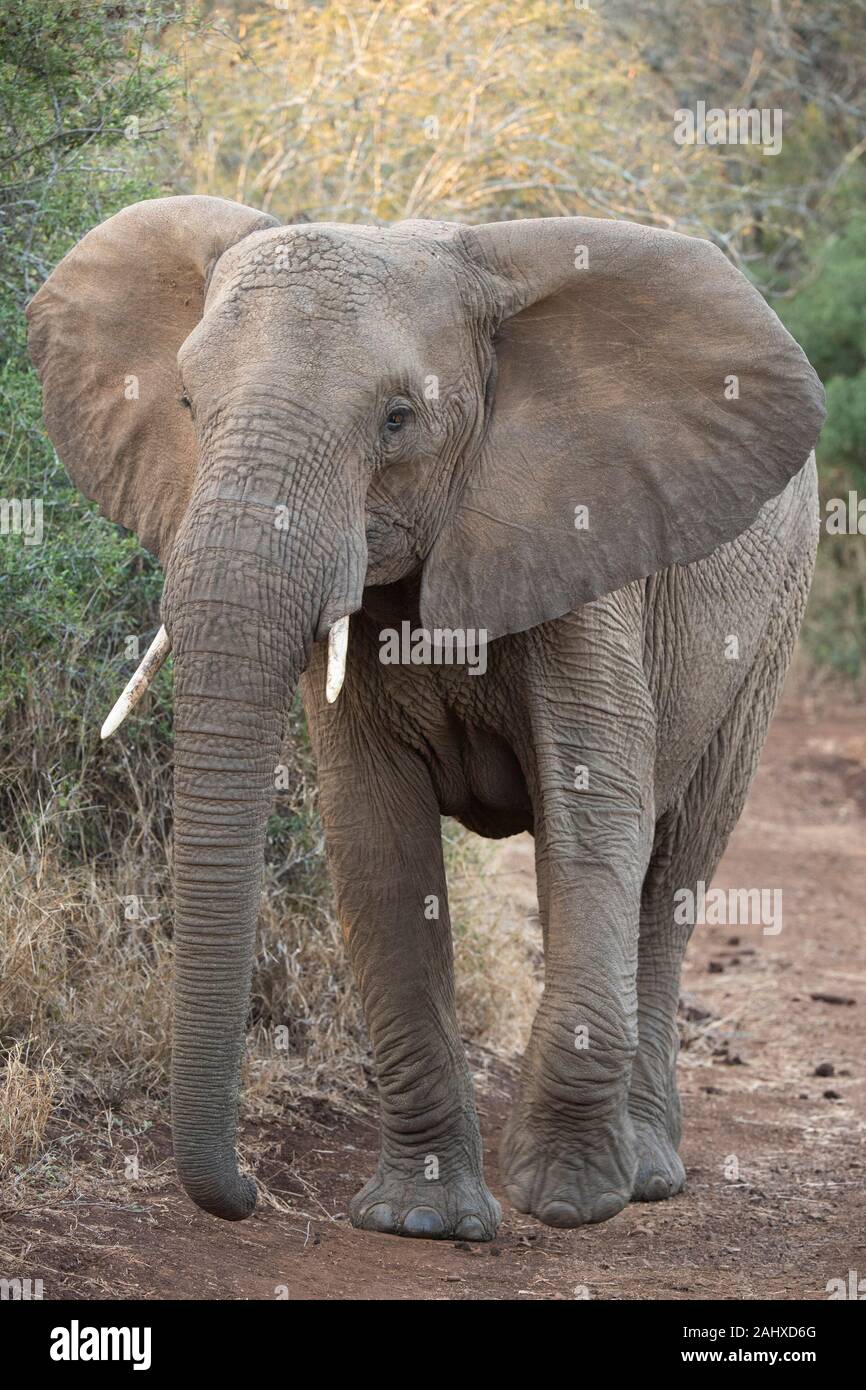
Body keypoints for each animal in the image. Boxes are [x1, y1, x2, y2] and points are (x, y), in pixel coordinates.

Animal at [26, 195, 825, 1241]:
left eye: (399, 420)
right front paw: (423, 1222)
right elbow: (378, 843)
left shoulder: (584, 552)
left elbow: (596, 818)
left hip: (770, 626)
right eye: (190, 408)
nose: (248, 1195)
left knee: (676, 869)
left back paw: (648, 1175)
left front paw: (565, 1202)